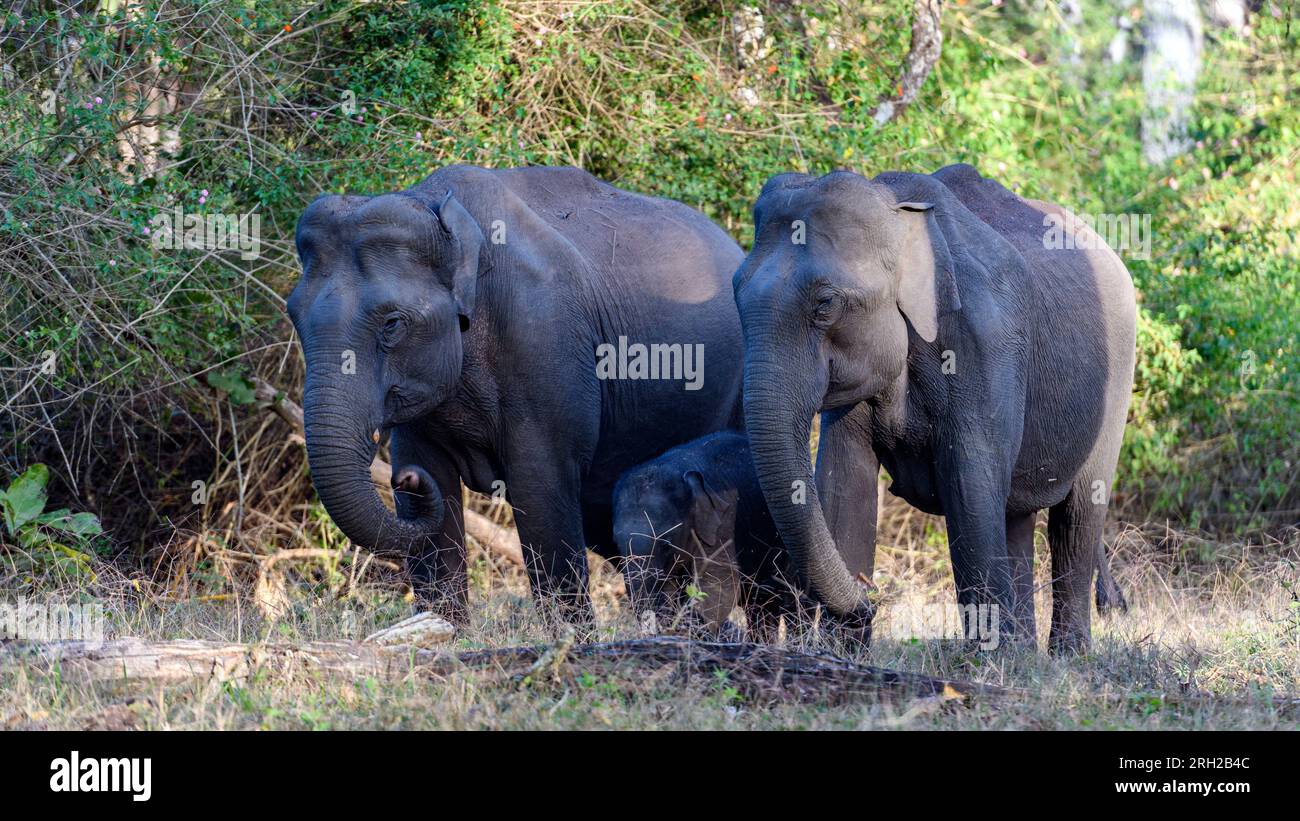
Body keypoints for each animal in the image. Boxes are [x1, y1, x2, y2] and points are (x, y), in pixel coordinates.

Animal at [287, 165, 745, 622]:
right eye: (294, 314)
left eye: (392, 323)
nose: (402, 479)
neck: (438, 210)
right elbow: (435, 484)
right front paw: (442, 628)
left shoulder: (545, 344)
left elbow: (539, 492)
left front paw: (568, 634)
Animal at [731, 163, 1136, 653]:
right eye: (736, 294)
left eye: (824, 304)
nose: (871, 597)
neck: (895, 206)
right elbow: (844, 480)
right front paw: (846, 652)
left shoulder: (987, 342)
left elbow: (969, 484)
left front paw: (987, 661)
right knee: (1015, 517)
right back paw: (1025, 654)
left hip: (1116, 382)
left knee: (1078, 514)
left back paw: (1064, 656)